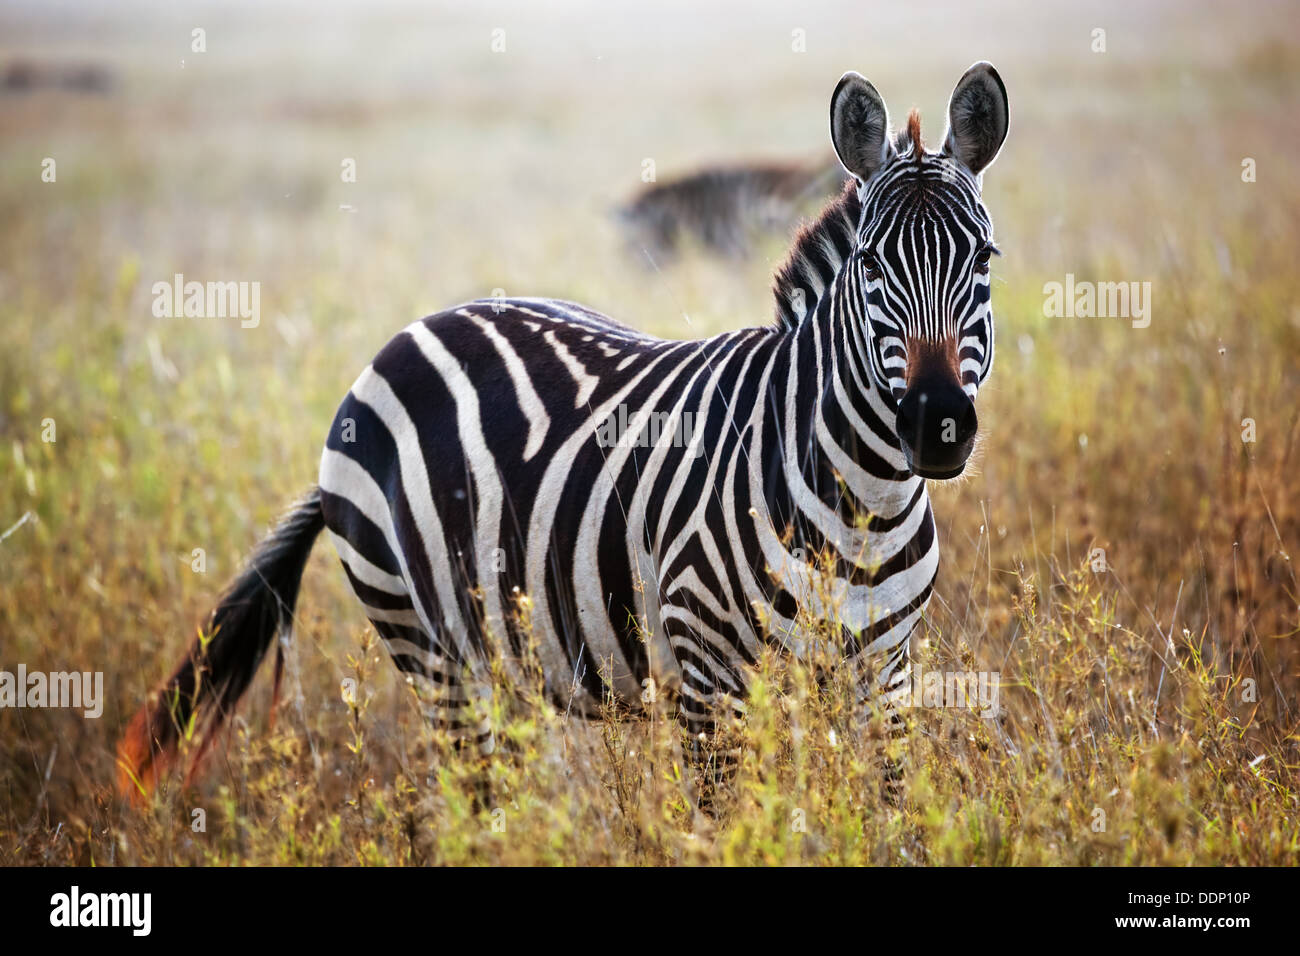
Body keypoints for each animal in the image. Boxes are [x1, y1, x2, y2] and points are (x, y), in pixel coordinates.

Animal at [118, 63, 1009, 810]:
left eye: (986, 259)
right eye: (871, 265)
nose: (936, 426)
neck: (864, 500)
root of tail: (407, 335)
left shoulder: (884, 677)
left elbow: (884, 816)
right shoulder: (708, 675)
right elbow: (729, 824)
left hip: (504, 657)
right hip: (431, 649)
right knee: (472, 805)